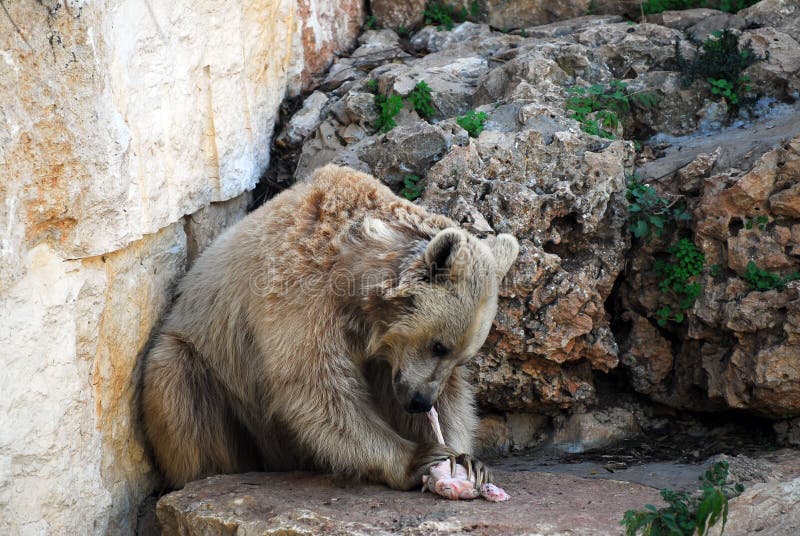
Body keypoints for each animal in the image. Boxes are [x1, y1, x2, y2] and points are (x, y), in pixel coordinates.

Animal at [141, 164, 519, 491]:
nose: (420, 402)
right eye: (438, 345)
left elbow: (453, 397)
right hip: (209, 360)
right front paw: (419, 458)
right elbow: (319, 389)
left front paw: (468, 460)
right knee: (179, 390)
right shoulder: (300, 299)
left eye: (461, 357)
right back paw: (204, 473)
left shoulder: (385, 352)